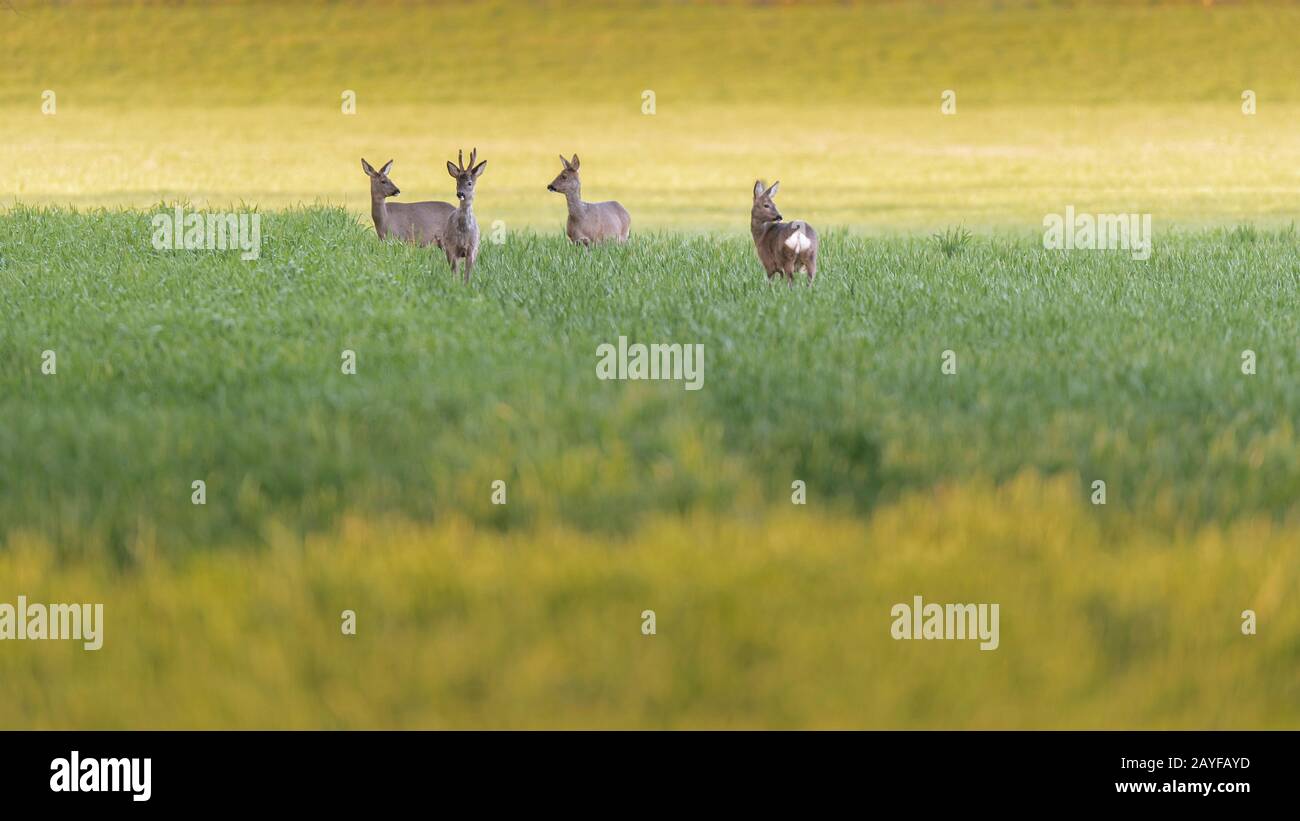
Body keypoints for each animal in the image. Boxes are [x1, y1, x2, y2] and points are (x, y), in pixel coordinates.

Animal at [442, 148, 487, 282]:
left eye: (469, 183)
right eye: (457, 182)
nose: (460, 193)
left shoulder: (472, 248)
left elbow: (467, 274)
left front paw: (466, 285)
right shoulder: (451, 246)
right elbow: (455, 272)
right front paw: (455, 285)